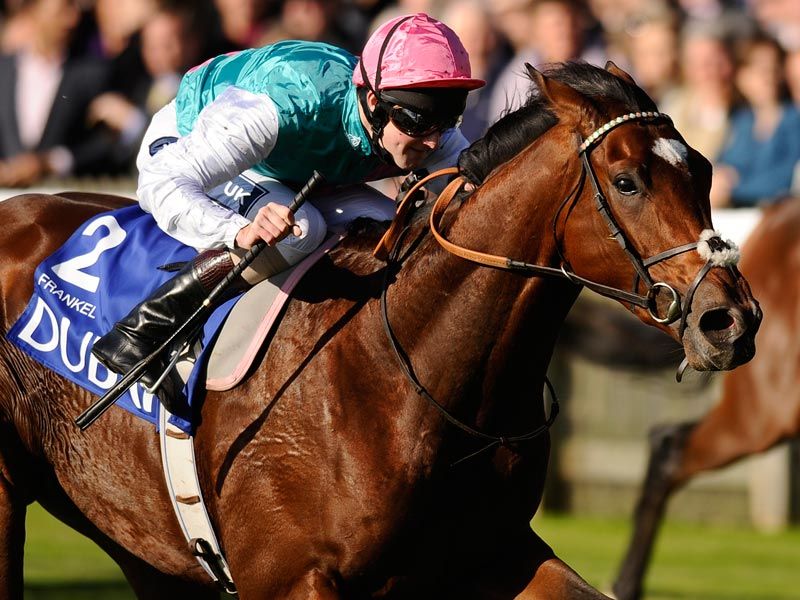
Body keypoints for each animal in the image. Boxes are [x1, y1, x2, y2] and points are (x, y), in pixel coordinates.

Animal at [0, 61, 761, 599]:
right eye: (628, 180)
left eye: (703, 169)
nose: (731, 320)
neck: (409, 374)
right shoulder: (293, 578)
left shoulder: (494, 554)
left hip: (143, 545)